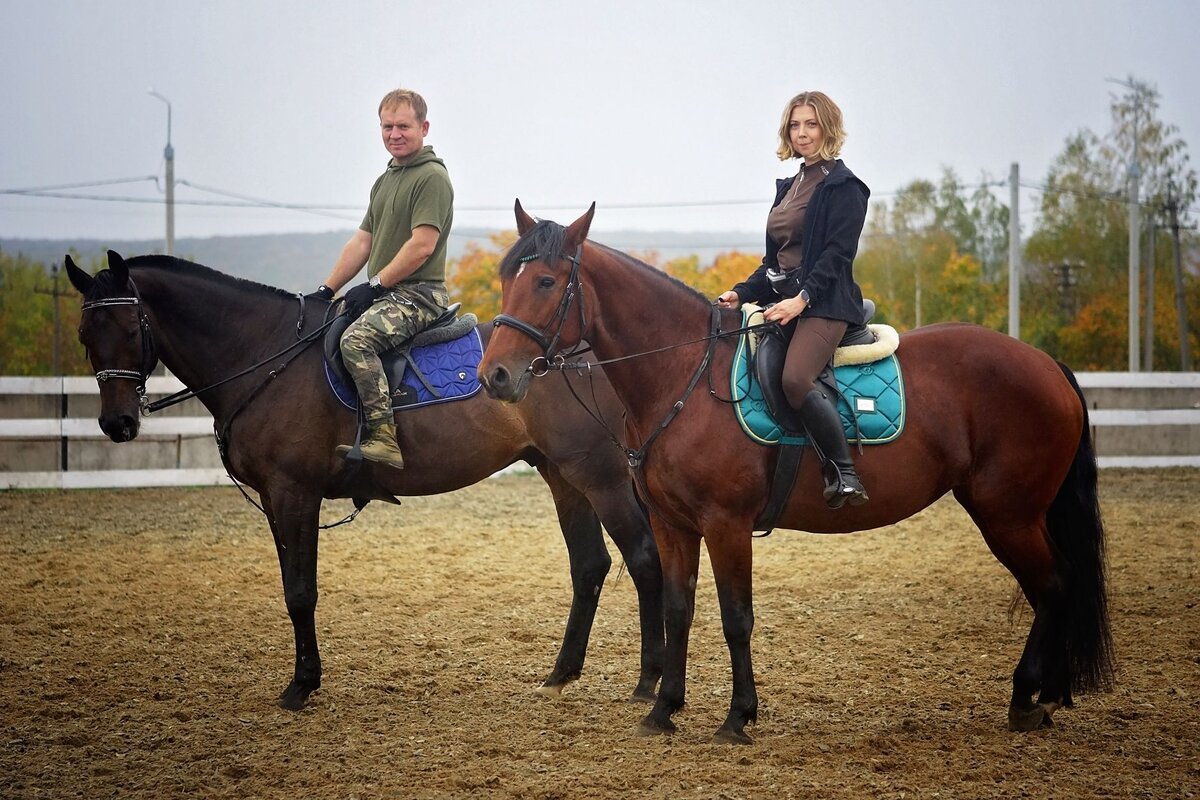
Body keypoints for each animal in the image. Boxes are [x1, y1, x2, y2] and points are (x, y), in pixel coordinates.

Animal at [65, 251, 667, 714]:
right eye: (84, 334)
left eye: (129, 328)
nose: (117, 424)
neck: (265, 357)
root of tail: (592, 353)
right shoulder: (275, 501)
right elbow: (291, 587)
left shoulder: (294, 494)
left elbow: (300, 592)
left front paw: (301, 685)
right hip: (562, 474)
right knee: (589, 565)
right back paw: (560, 675)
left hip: (599, 474)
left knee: (642, 558)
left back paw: (649, 681)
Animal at [475, 205, 1113, 743]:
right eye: (508, 278)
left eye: (546, 282)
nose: (495, 376)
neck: (683, 374)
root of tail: (1045, 364)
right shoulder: (672, 524)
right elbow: (680, 609)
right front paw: (664, 708)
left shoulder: (726, 525)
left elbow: (736, 617)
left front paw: (738, 717)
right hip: (1013, 514)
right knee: (1055, 585)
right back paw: (1046, 695)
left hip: (1008, 515)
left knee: (1053, 585)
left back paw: (1026, 698)